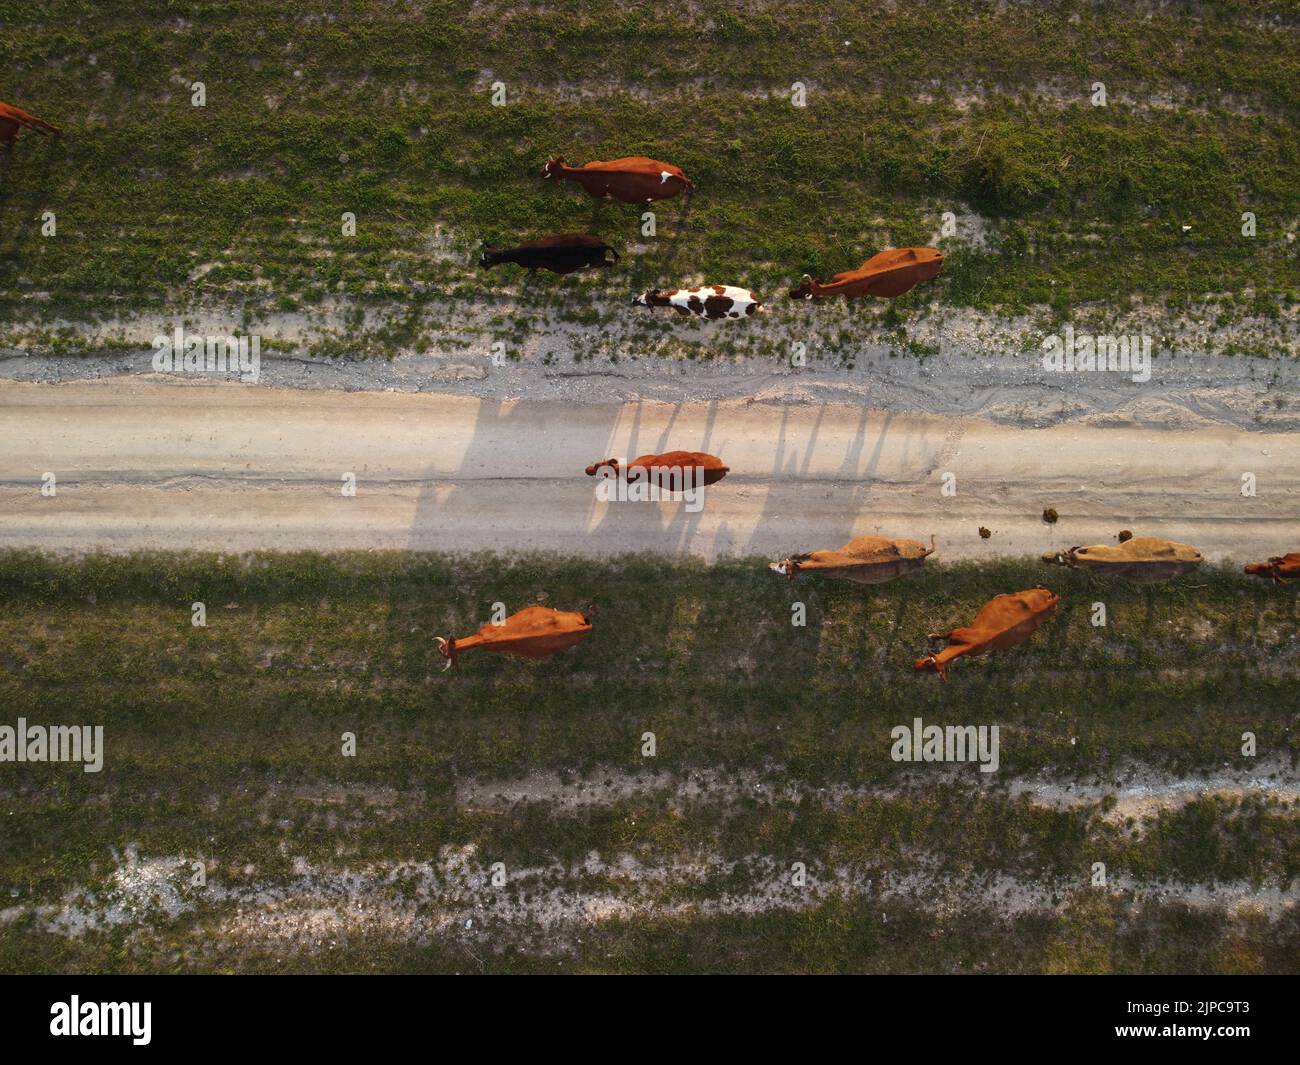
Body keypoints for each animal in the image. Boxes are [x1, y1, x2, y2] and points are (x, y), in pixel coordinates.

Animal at [480, 233, 618, 275]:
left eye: (488, 259)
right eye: (484, 253)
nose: (479, 263)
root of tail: (602, 244)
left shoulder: (533, 265)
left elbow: (532, 272)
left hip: (596, 261)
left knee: (608, 263)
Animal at [541, 156, 693, 204]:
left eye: (548, 172)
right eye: (547, 164)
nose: (540, 173)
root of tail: (678, 175)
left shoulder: (597, 193)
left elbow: (604, 198)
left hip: (657, 194)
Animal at [789, 247, 944, 301]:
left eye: (805, 293)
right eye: (801, 285)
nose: (790, 294)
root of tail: (938, 256)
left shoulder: (855, 294)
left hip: (926, 275)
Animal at [915, 587, 1059, 682]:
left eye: (927, 664)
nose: (914, 666)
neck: (965, 644)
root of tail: (1051, 600)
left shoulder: (958, 632)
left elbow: (943, 635)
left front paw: (931, 637)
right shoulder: (954, 632)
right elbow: (943, 635)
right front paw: (932, 637)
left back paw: (1000, 595)